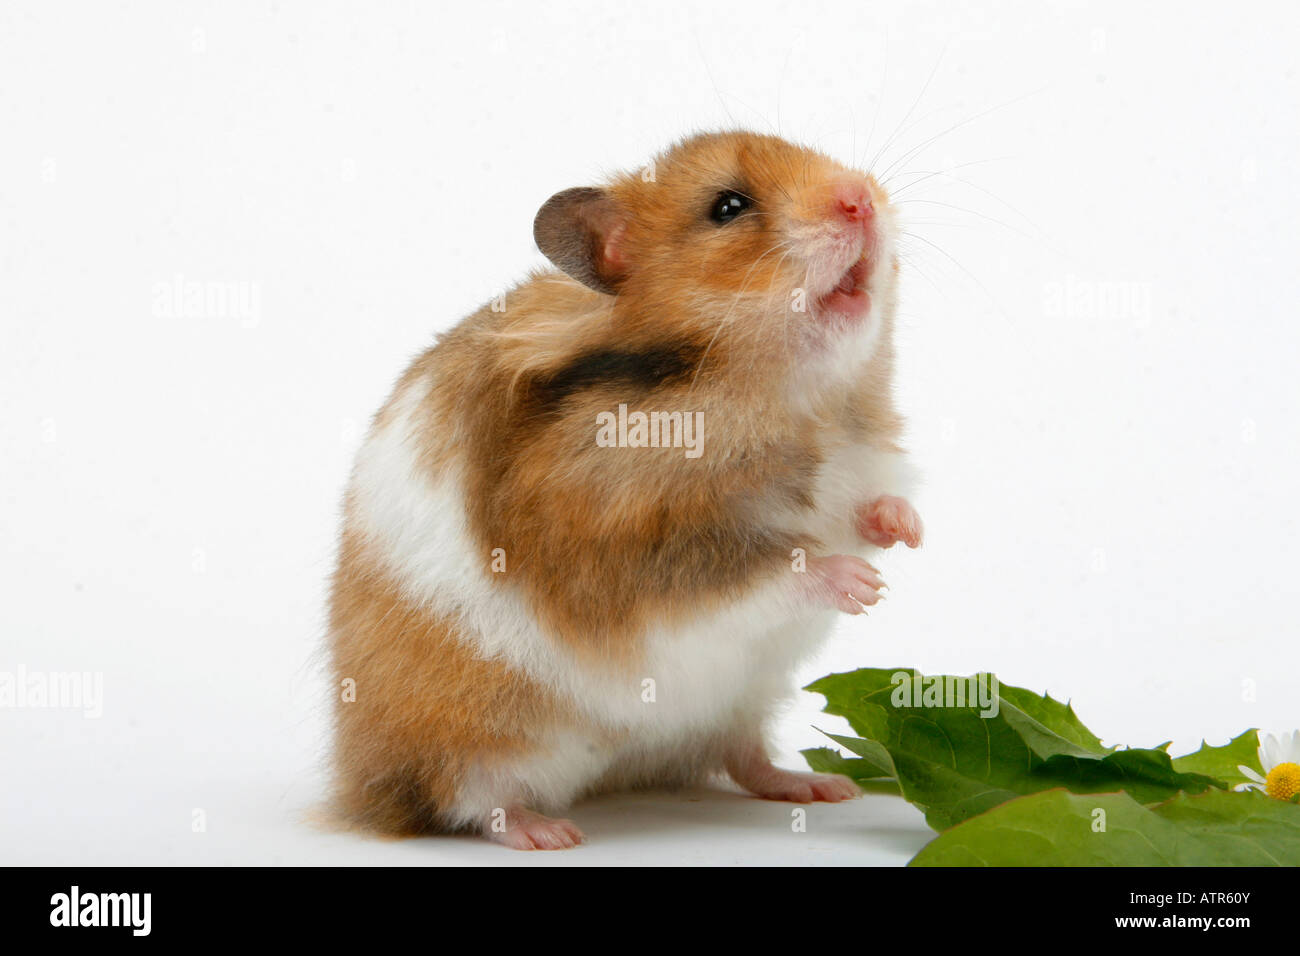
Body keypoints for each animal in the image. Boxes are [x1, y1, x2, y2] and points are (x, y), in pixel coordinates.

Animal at [327, 130, 923, 850]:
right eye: (728, 207)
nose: (860, 197)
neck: (802, 398)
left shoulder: (852, 474)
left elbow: (865, 509)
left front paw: (908, 531)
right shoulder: (631, 557)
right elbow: (767, 569)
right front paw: (862, 588)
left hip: (742, 701)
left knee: (742, 755)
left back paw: (821, 787)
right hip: (479, 732)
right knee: (473, 796)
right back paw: (548, 834)